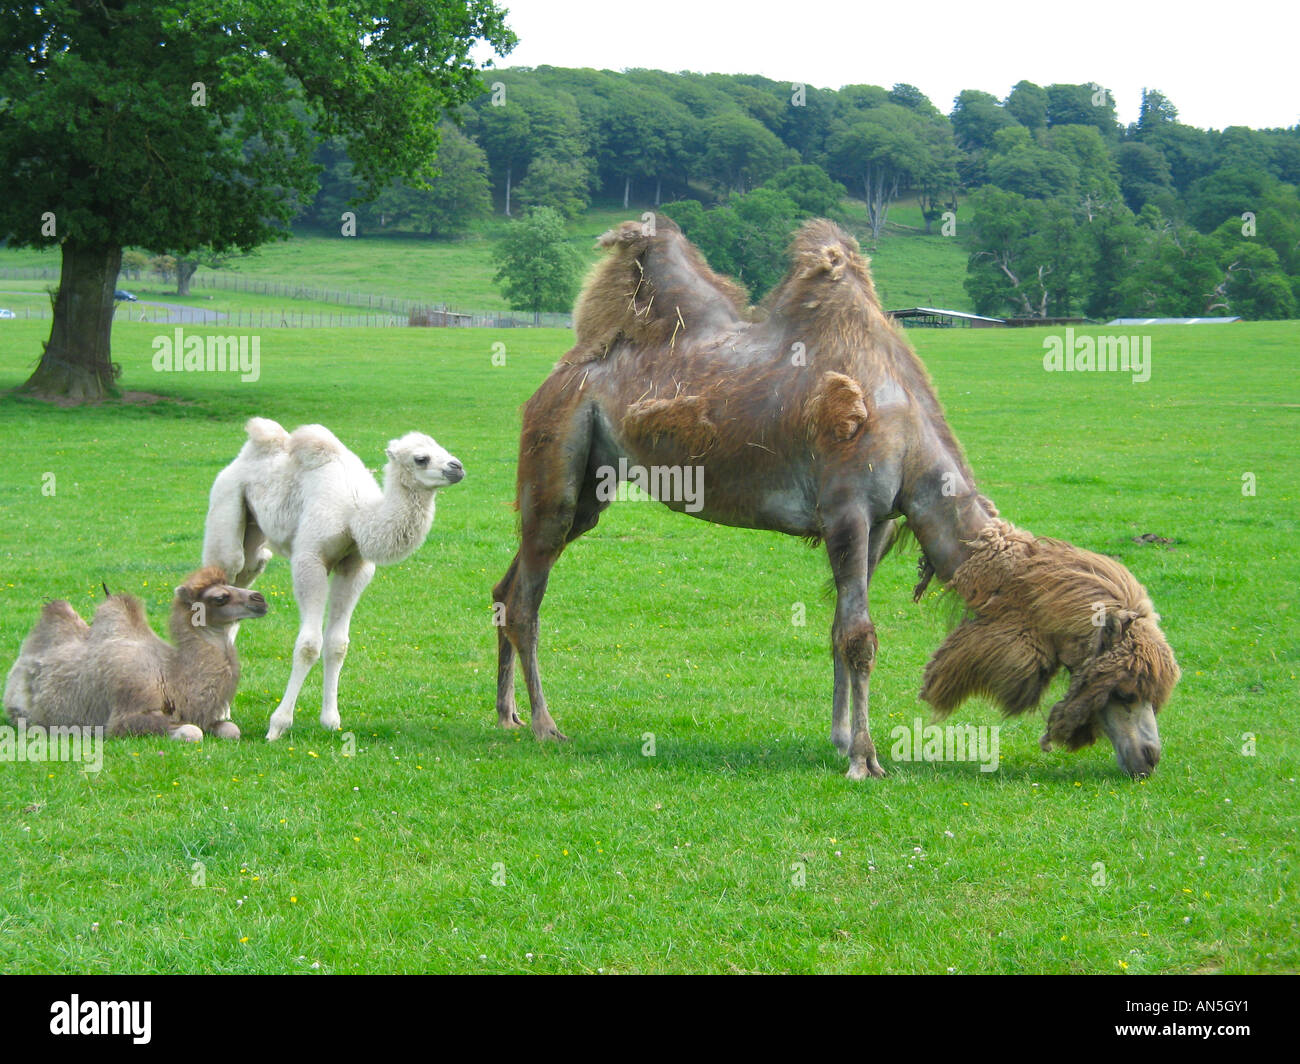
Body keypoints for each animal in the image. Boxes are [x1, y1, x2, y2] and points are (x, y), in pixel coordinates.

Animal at [3, 567, 268, 741]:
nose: (260, 599)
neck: (172, 675)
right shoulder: (126, 715)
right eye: (220, 597)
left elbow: (232, 730)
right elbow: (192, 731)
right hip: (21, 711)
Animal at [203, 418, 464, 740]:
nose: (457, 467)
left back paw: (224, 708)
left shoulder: (355, 566)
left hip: (254, 546)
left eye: (441, 448)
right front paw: (278, 726)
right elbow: (308, 644)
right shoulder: (310, 559)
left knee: (242, 588)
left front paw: (330, 720)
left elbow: (338, 643)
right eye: (421, 458)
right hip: (226, 508)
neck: (356, 515)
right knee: (222, 572)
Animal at [492, 215, 1180, 780]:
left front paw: (842, 737)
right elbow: (860, 637)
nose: (1149, 758)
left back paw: (507, 715)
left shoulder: (879, 525)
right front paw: (866, 760)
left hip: (591, 487)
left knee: (508, 584)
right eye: (1124, 689)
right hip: (559, 456)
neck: (909, 434)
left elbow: (838, 630)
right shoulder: (847, 510)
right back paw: (548, 726)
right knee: (528, 597)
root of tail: (560, 374)